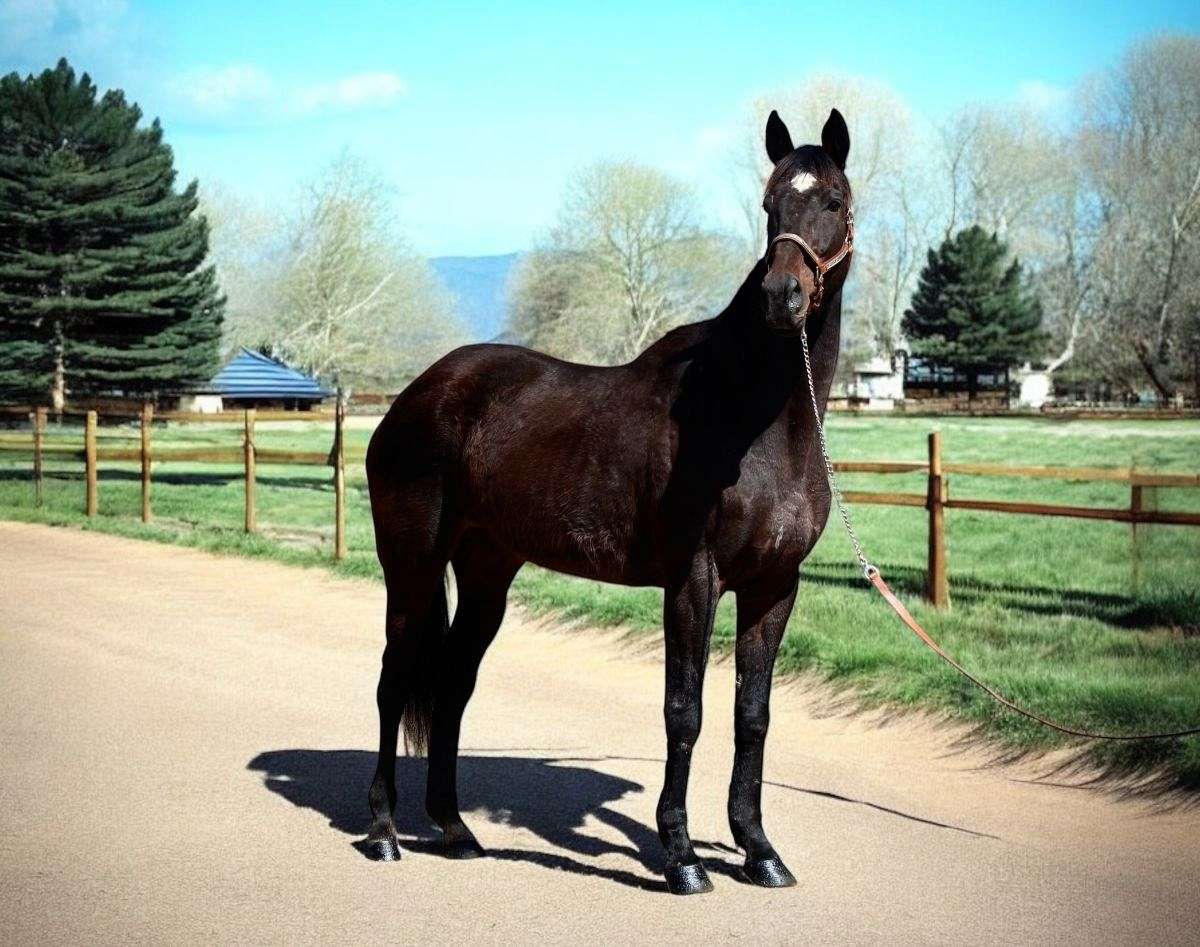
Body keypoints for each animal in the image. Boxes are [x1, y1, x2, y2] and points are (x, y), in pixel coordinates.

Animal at [364, 108, 855, 896]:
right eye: (769, 204)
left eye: (833, 201)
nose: (782, 297)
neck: (754, 418)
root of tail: (417, 395)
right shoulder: (693, 580)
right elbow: (684, 711)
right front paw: (682, 857)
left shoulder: (776, 586)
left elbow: (752, 715)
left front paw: (758, 850)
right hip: (411, 568)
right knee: (394, 681)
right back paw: (383, 832)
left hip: (487, 571)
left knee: (452, 685)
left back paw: (456, 830)